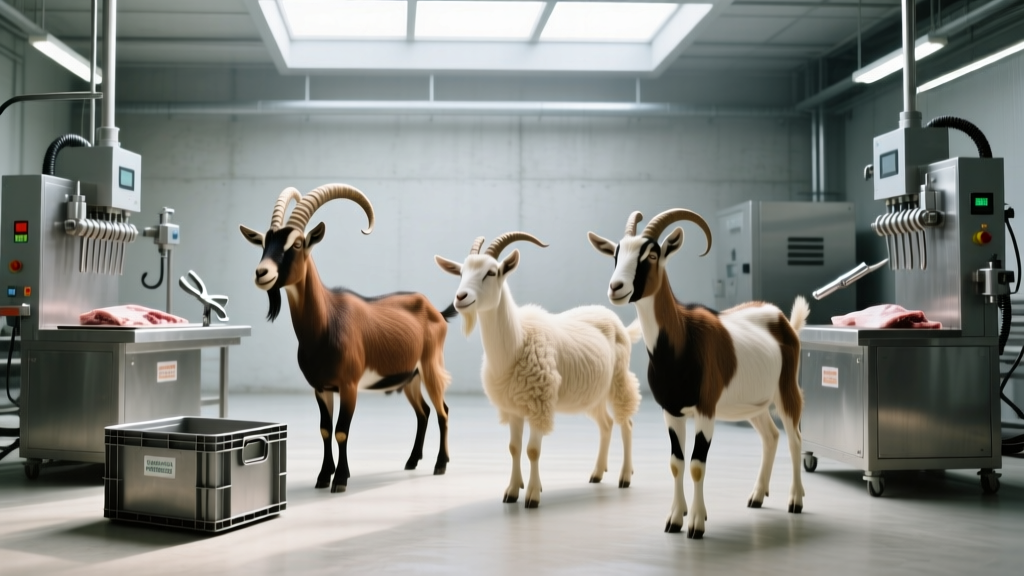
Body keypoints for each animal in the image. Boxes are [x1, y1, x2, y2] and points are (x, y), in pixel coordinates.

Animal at [240, 184, 456, 493]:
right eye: (263, 243)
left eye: (297, 244)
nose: (262, 273)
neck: (325, 325)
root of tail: (435, 310)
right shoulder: (321, 388)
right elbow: (325, 429)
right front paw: (323, 476)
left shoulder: (349, 385)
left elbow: (341, 431)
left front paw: (340, 479)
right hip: (410, 378)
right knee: (423, 412)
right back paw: (412, 461)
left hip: (430, 368)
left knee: (443, 411)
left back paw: (440, 464)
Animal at [435, 233, 642, 508]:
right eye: (461, 272)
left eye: (491, 272)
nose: (460, 297)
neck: (517, 341)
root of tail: (620, 325)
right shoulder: (513, 407)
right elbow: (513, 448)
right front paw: (512, 491)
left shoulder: (538, 403)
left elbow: (532, 451)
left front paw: (532, 496)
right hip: (593, 392)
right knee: (606, 424)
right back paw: (597, 473)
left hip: (617, 380)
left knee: (625, 422)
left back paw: (625, 477)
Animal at [588, 209, 809, 538]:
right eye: (616, 254)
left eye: (651, 254)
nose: (616, 287)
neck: (681, 338)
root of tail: (783, 320)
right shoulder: (672, 410)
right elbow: (676, 463)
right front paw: (674, 519)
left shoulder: (705, 409)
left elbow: (696, 465)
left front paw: (696, 524)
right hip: (753, 404)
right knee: (770, 437)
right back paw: (756, 497)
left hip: (786, 390)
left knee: (794, 437)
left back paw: (795, 501)